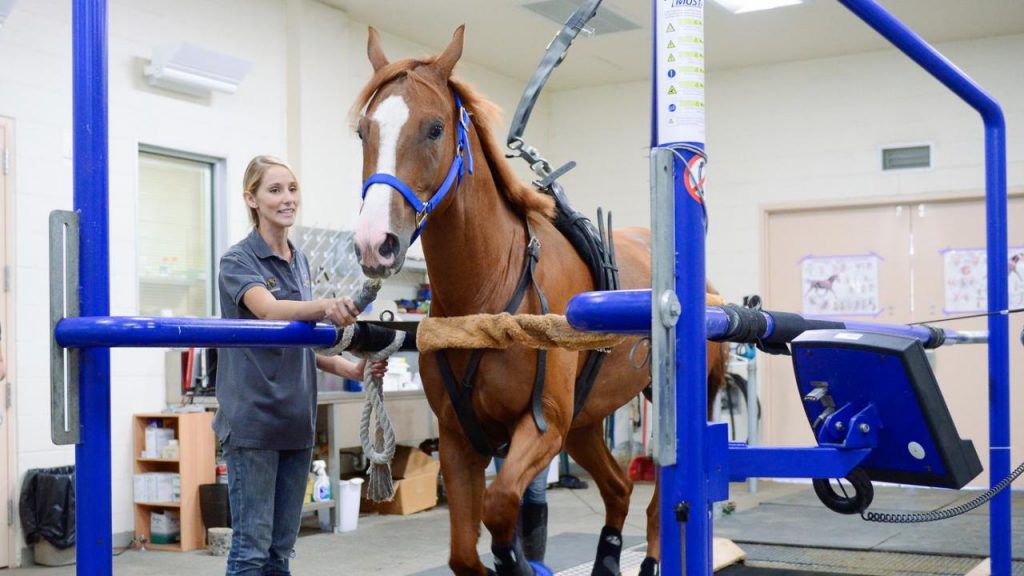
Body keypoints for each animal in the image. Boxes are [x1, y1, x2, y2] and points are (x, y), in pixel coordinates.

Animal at [351, 26, 728, 576]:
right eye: (364, 131)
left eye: (435, 128)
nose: (373, 242)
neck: (486, 293)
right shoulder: (459, 439)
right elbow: (464, 551)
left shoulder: (543, 425)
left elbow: (501, 503)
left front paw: (516, 561)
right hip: (586, 421)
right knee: (618, 488)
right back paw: (607, 559)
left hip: (665, 409)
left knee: (663, 501)